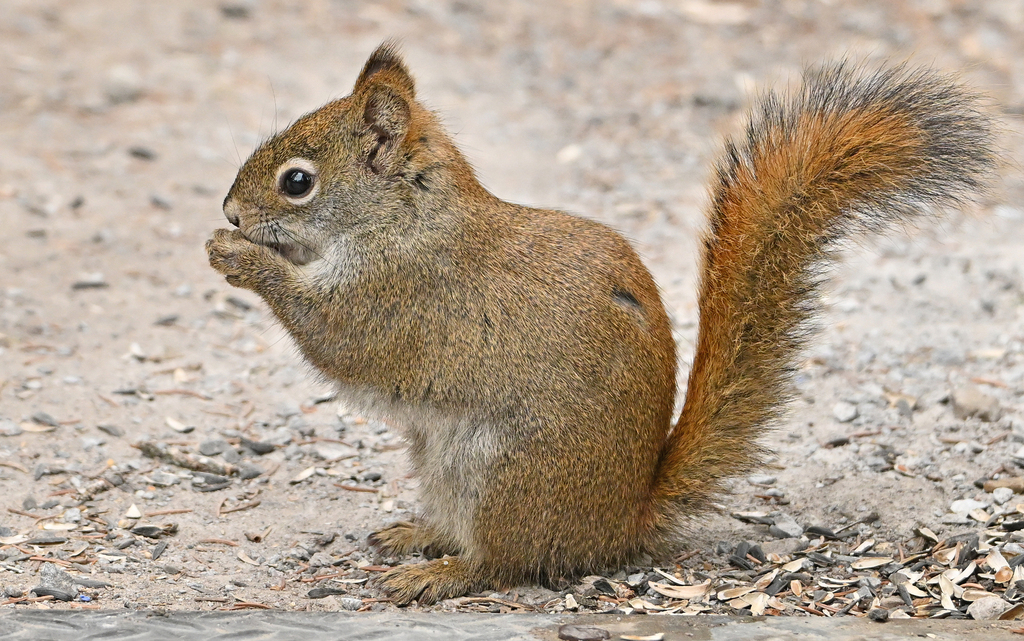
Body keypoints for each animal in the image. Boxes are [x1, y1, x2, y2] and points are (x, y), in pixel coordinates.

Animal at [207, 43, 995, 605]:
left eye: (297, 182)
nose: (230, 211)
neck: (407, 216)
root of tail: (622, 520)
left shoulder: (398, 293)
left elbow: (334, 333)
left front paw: (240, 258)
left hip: (507, 471)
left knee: (508, 561)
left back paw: (444, 573)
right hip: (444, 461)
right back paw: (419, 534)